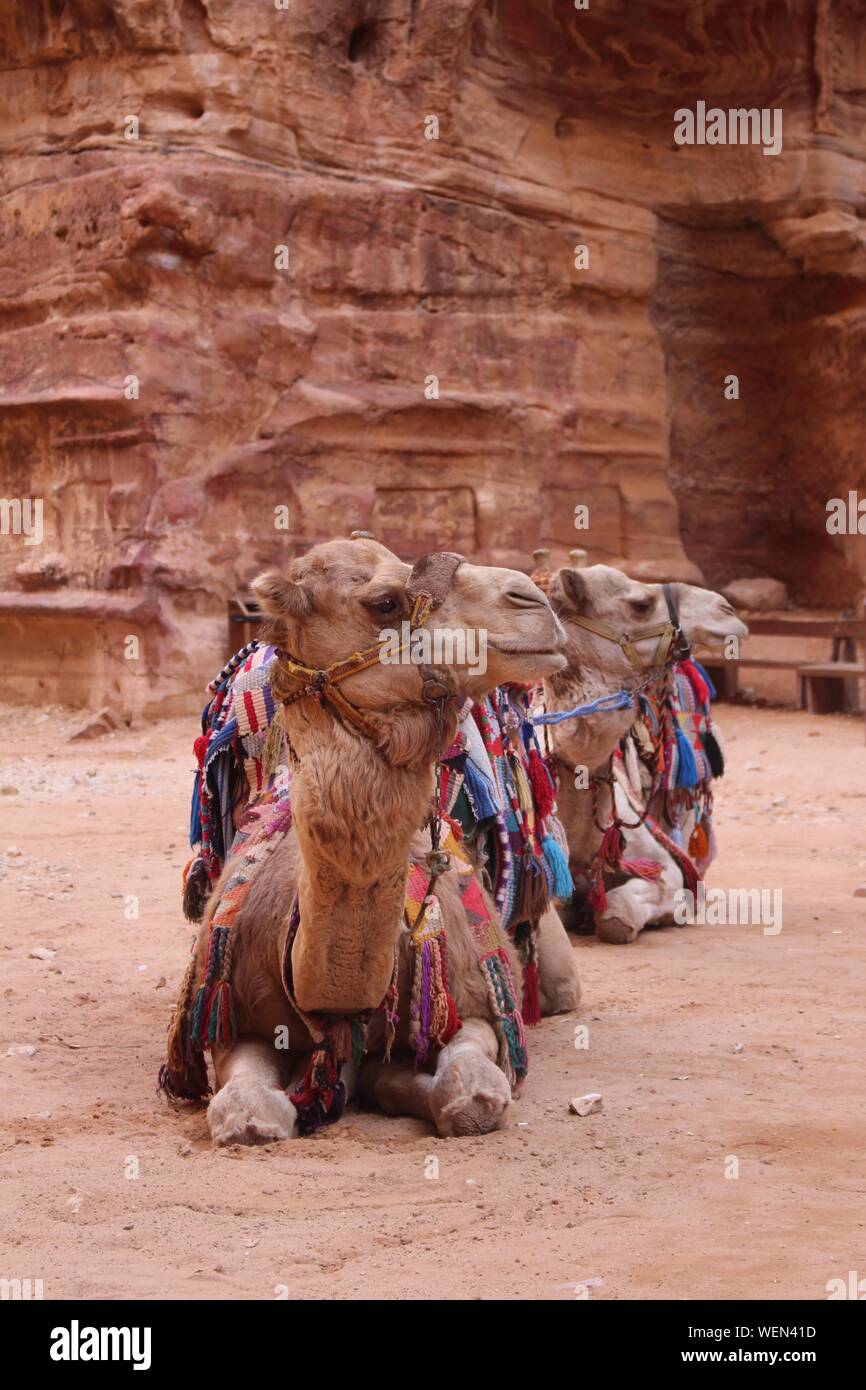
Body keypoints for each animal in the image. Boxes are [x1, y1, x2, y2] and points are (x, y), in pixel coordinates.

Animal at [161, 537, 578, 1144]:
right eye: (383, 602)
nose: (532, 599)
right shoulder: (234, 1016)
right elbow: (245, 1113)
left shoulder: (474, 998)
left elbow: (471, 1091)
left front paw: (398, 1079)